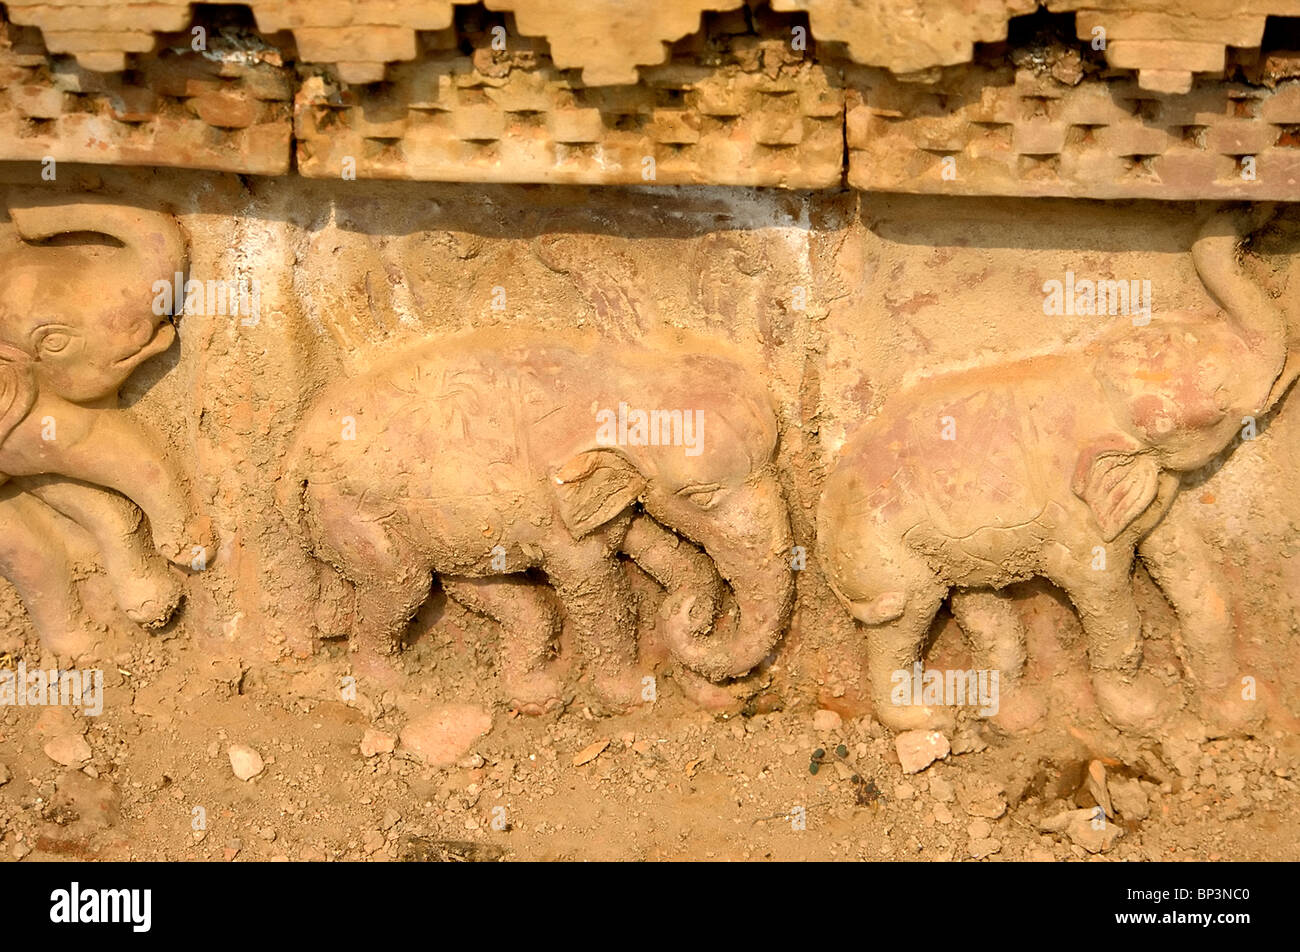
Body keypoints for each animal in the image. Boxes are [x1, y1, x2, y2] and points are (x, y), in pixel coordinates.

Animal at [0, 198, 212, 653]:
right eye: (54, 342)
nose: (25, 217)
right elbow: (94, 446)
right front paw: (189, 552)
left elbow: (72, 490)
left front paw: (153, 608)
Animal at [277, 328, 795, 713]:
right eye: (701, 496)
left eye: (775, 458)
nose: (700, 622)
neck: (628, 378)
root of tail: (294, 457)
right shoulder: (556, 503)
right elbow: (594, 583)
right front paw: (632, 696)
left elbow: (646, 541)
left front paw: (689, 602)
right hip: (354, 518)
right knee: (401, 586)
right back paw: (400, 690)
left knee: (500, 596)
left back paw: (539, 695)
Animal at [817, 206, 1299, 734]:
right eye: (1218, 406)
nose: (1246, 214)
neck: (1099, 385)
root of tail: (820, 524)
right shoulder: (1079, 522)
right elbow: (1103, 592)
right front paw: (1147, 715)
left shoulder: (1151, 491)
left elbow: (1195, 578)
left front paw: (1237, 713)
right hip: (881, 557)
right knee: (905, 617)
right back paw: (929, 718)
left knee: (984, 610)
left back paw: (1018, 720)